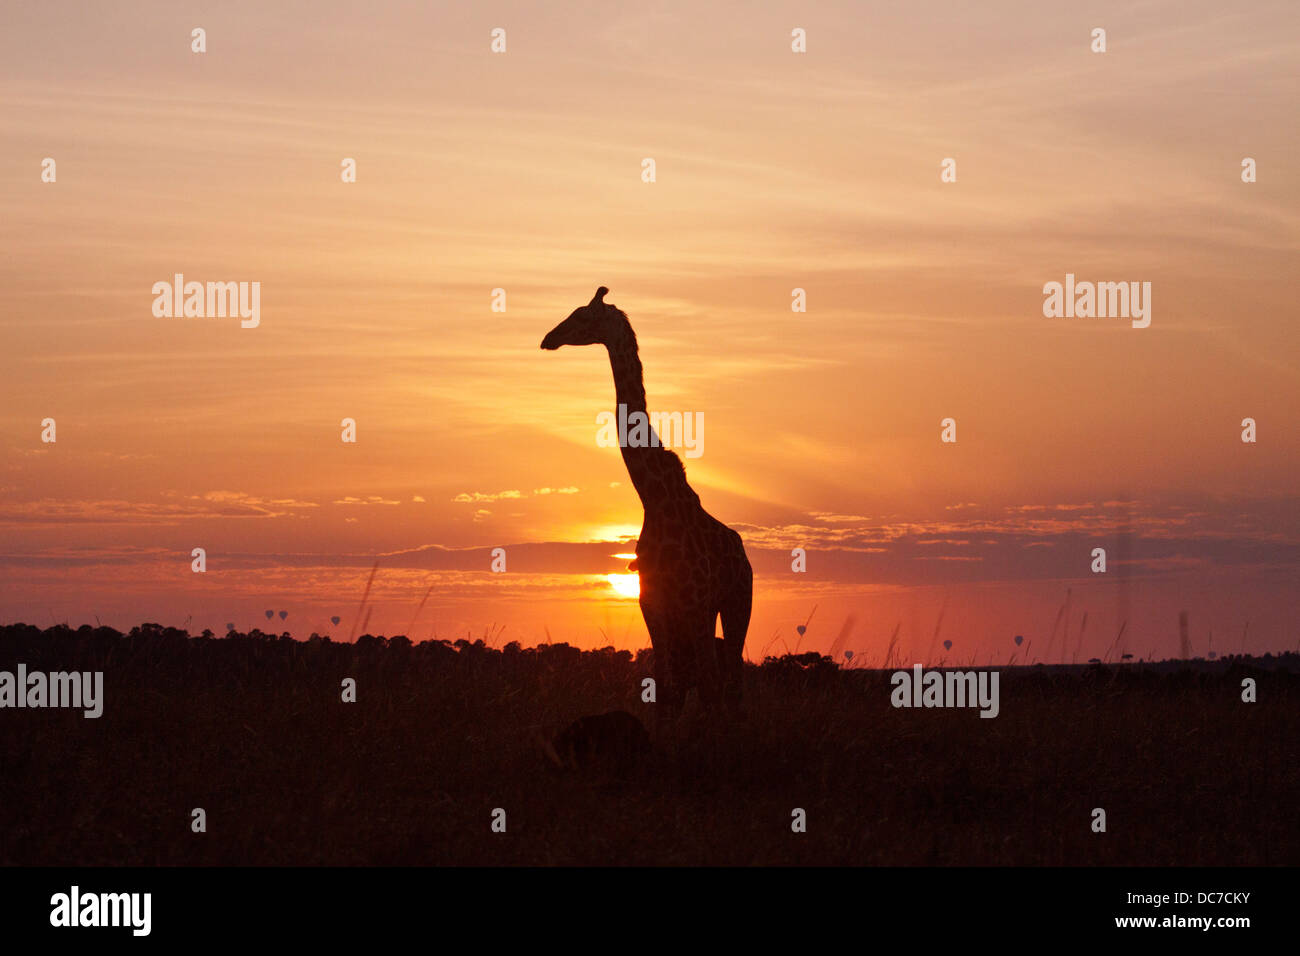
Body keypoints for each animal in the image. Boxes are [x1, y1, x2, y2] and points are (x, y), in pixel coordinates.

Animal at [541, 287, 753, 720]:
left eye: (582, 315)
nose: (548, 338)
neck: (654, 500)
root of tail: (745, 557)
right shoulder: (652, 603)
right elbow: (666, 691)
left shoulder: (694, 601)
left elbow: (705, 687)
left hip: (737, 601)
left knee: (730, 682)